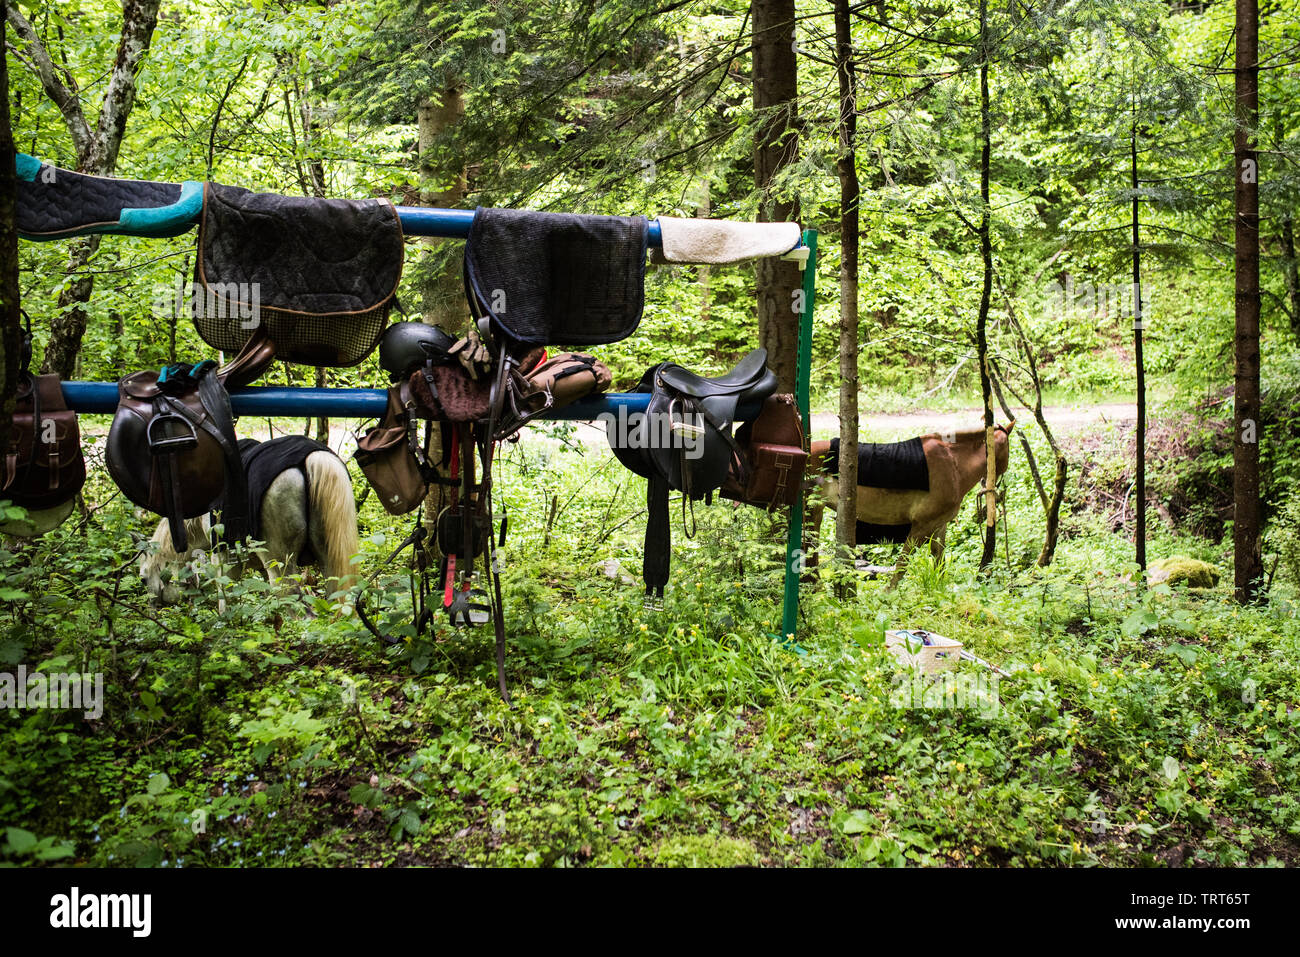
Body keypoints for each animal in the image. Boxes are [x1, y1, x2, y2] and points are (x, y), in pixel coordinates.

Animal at [140, 436, 360, 605]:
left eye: (143, 579)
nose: (154, 606)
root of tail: (309, 458)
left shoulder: (223, 560)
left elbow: (226, 599)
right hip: (329, 561)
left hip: (280, 566)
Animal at [807, 423, 1014, 587]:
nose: (991, 483)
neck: (954, 464)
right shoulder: (921, 526)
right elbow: (902, 564)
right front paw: (888, 594)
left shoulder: (939, 525)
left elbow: (939, 559)